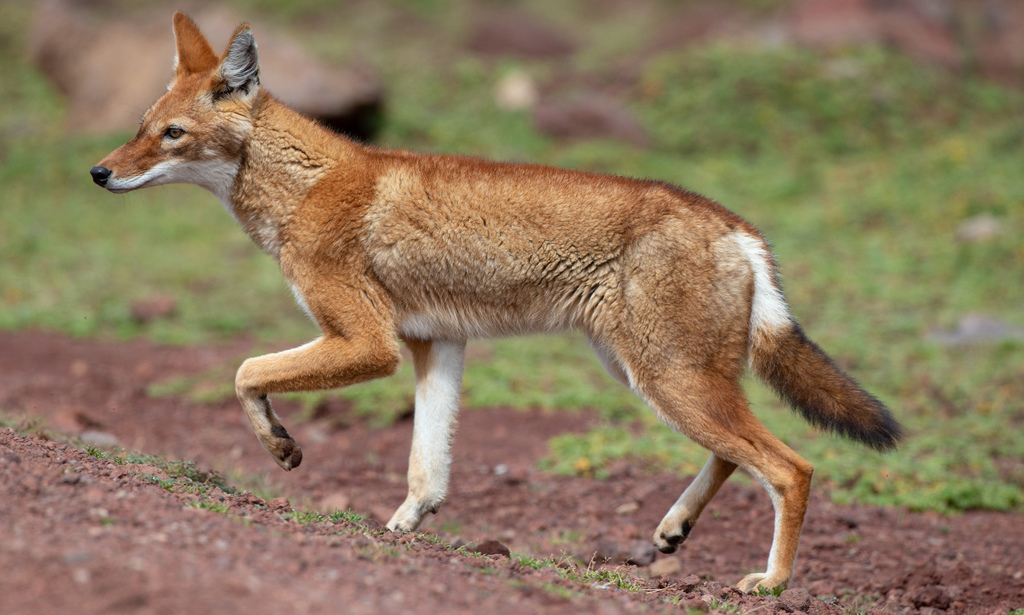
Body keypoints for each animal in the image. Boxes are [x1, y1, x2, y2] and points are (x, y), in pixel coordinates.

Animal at [90, 12, 901, 591]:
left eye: (172, 134)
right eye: (140, 127)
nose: (99, 172)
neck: (306, 188)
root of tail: (739, 227)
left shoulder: (369, 344)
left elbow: (244, 373)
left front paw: (283, 446)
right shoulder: (435, 345)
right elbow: (427, 473)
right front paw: (398, 531)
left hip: (669, 383)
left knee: (791, 467)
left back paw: (771, 581)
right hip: (652, 379)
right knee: (738, 456)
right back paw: (673, 531)